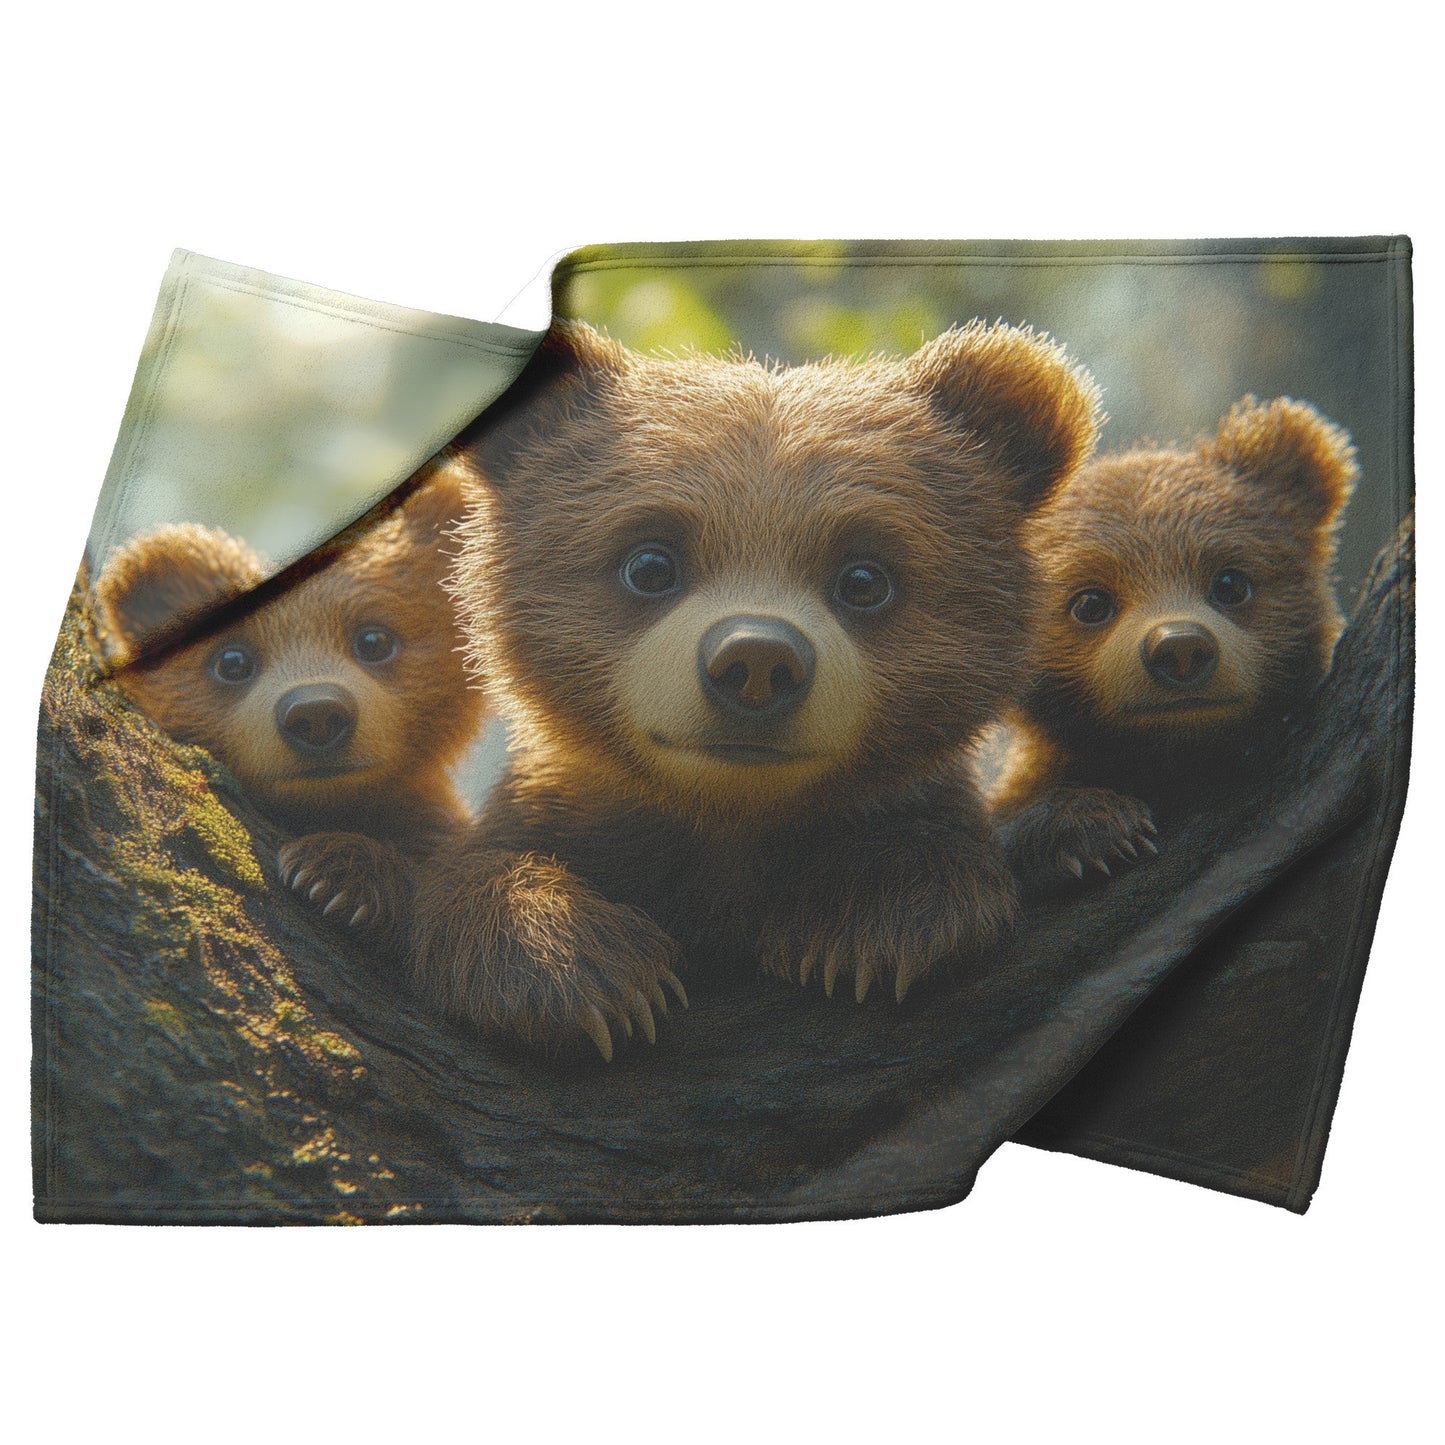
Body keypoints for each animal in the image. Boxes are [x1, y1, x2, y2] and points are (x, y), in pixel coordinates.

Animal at [407, 318, 1103, 1060]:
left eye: (864, 577)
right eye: (650, 562)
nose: (757, 661)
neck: (730, 821)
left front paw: (866, 922)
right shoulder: (567, 816)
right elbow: (487, 877)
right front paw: (583, 973)